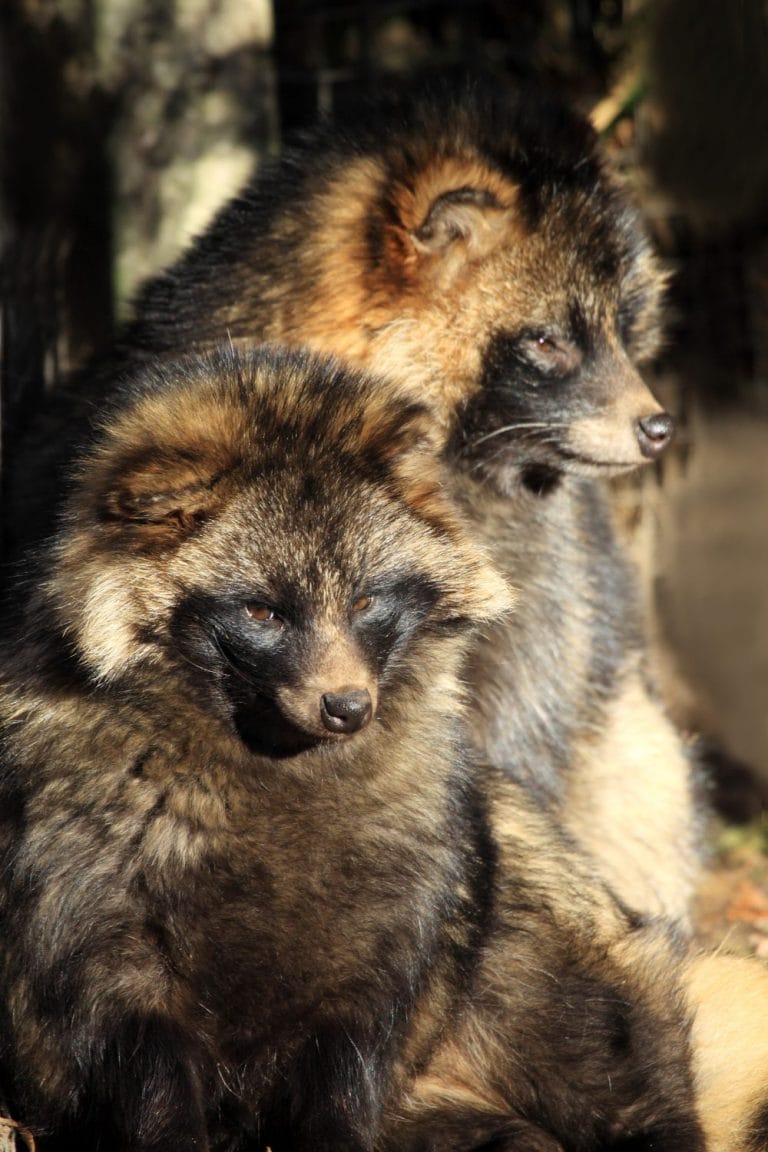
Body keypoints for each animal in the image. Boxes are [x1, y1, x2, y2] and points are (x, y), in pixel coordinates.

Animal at [0, 346, 715, 1152]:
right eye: (262, 612)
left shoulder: (374, 964)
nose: (347, 708)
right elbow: (150, 1084)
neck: (271, 770)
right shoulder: (111, 954)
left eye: (368, 600)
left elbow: (343, 1082)